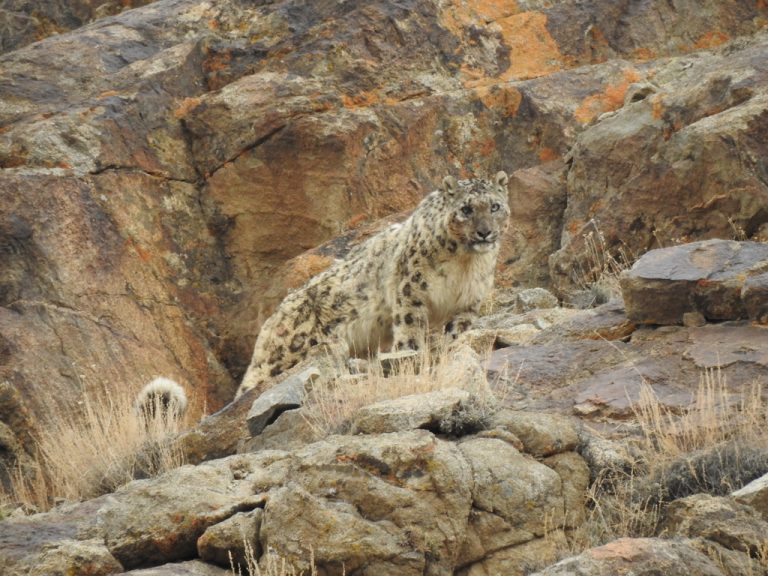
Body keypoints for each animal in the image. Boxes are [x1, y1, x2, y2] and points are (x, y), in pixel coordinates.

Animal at [236, 171, 510, 399]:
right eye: (466, 209)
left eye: (495, 206)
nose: (484, 232)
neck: (465, 263)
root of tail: (273, 319)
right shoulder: (410, 290)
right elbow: (409, 330)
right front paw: (412, 353)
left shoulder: (468, 302)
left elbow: (456, 332)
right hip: (293, 351)